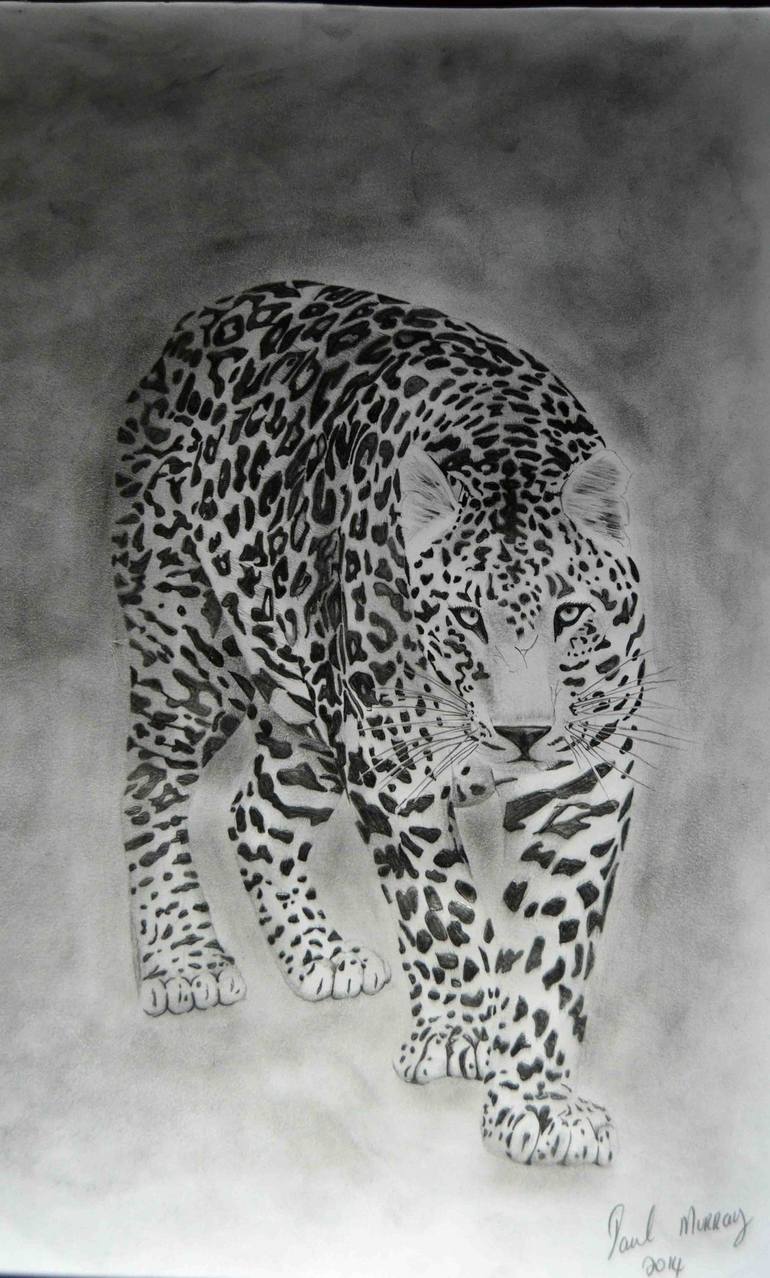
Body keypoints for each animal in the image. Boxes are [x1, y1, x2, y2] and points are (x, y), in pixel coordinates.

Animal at [112, 279, 653, 1167]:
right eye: (466, 618)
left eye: (569, 614)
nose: (524, 732)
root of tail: (196, 319)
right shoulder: (393, 772)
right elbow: (441, 911)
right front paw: (458, 1033)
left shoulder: (585, 789)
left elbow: (552, 949)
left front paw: (537, 1104)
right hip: (186, 648)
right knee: (149, 790)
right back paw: (185, 960)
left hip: (310, 718)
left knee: (252, 812)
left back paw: (318, 953)